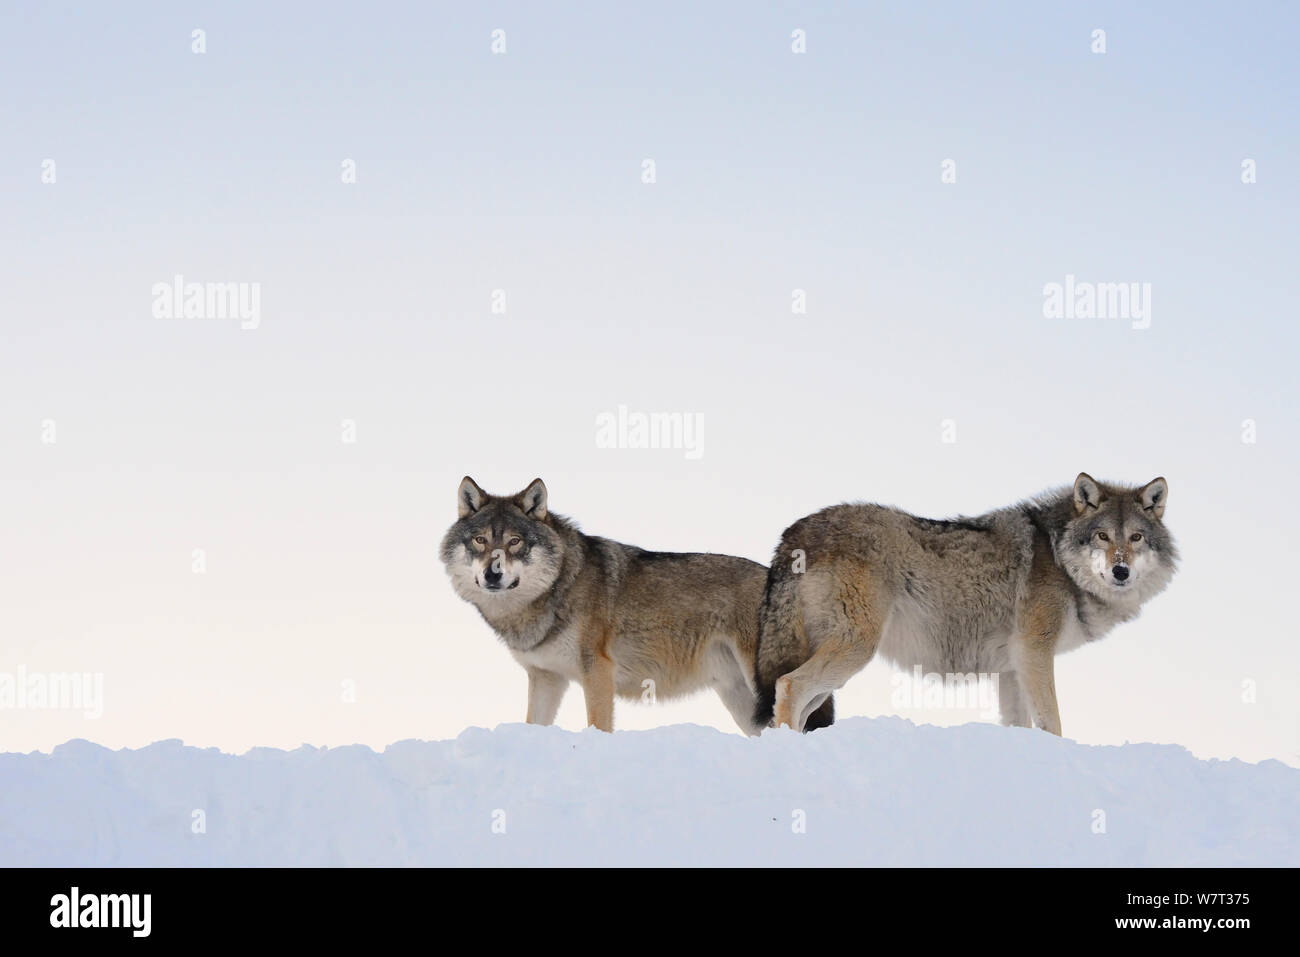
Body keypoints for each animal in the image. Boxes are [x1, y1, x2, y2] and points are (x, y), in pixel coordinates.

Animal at [441, 476, 832, 734]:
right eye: (480, 541)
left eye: (515, 542)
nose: (492, 574)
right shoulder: (546, 678)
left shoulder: (597, 670)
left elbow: (598, 725)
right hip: (741, 700)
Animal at [753, 473, 1177, 734]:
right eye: (1103, 536)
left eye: (1136, 537)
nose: (1120, 571)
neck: (1059, 557)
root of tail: (794, 532)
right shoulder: (1035, 652)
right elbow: (1053, 722)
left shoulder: (1012, 668)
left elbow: (1020, 724)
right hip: (854, 650)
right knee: (788, 685)